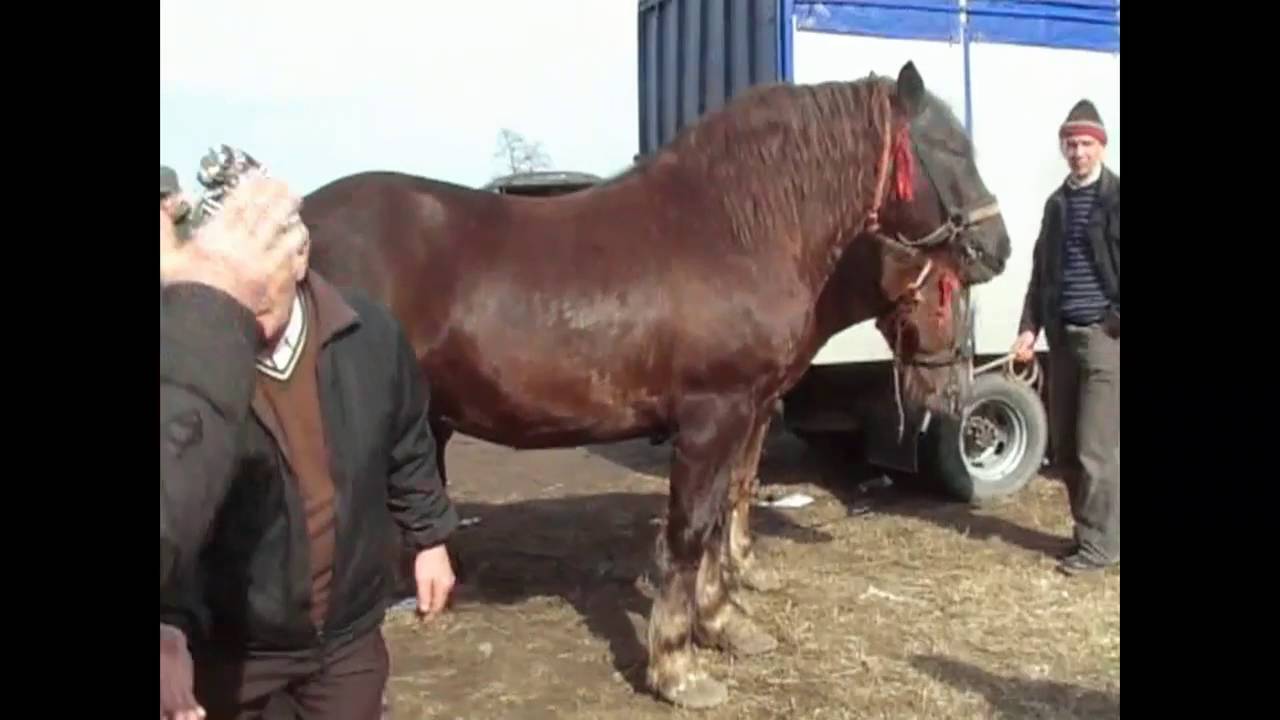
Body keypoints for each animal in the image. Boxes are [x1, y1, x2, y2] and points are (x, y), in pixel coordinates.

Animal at [300, 61, 1010, 709]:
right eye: (949, 149)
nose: (999, 248)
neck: (736, 231)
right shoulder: (713, 415)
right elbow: (691, 531)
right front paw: (677, 669)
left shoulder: (745, 413)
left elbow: (722, 511)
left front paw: (725, 626)